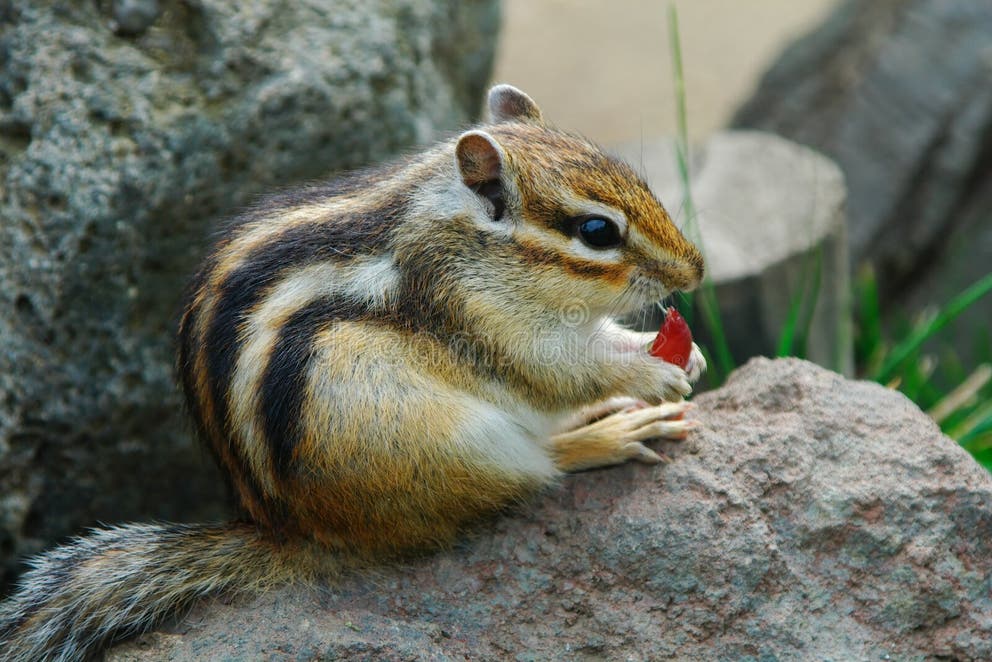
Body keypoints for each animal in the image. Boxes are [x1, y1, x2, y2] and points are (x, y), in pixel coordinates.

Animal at [0, 84, 706, 661]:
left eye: (633, 177)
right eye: (597, 231)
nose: (695, 271)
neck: (464, 238)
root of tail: (302, 532)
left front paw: (678, 352)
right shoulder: (477, 317)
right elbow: (558, 371)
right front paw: (649, 377)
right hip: (448, 438)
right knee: (538, 469)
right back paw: (606, 435)